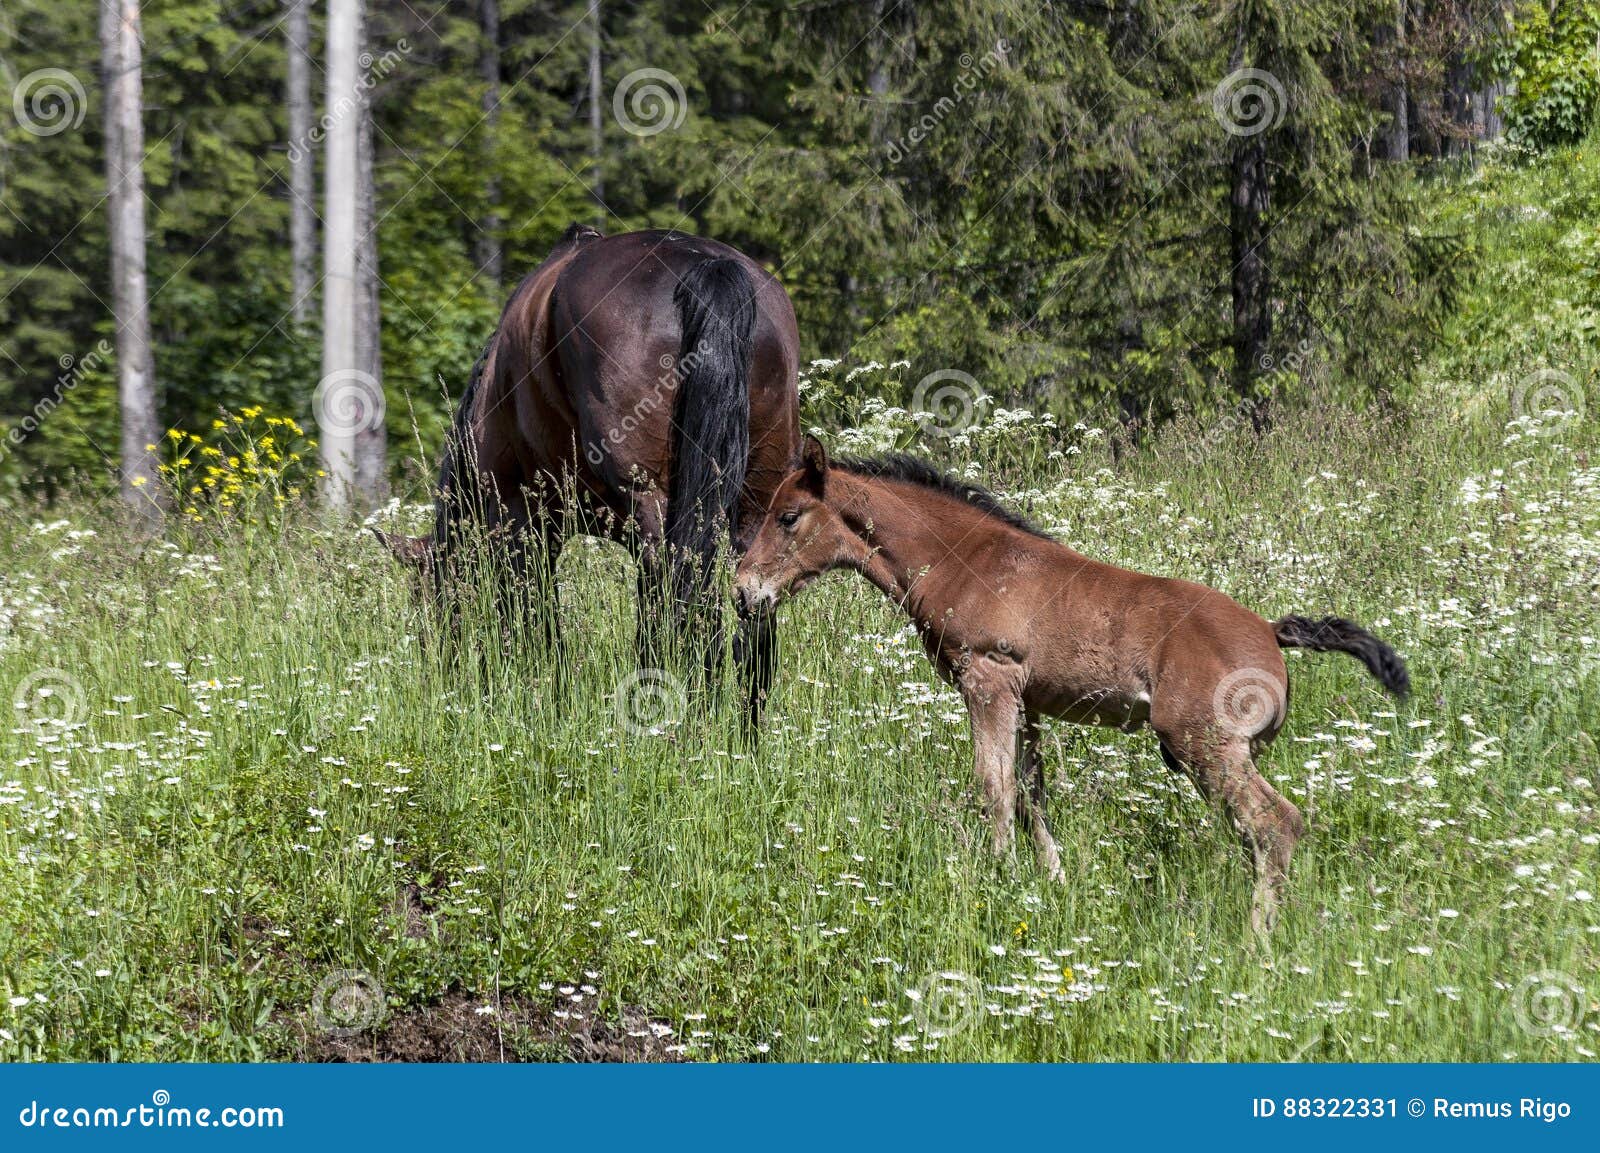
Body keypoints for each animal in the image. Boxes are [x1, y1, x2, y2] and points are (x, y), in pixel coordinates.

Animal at [375, 225, 801, 728]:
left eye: (431, 601)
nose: (444, 676)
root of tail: (707, 264)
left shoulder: (523, 522)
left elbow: (537, 615)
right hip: (759, 501)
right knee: (750, 618)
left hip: (653, 508)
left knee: (677, 601)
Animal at [733, 437, 1410, 932]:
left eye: (788, 517)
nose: (743, 591)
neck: (965, 560)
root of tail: (1271, 633)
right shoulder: (1026, 701)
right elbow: (1032, 793)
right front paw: (1054, 884)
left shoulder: (988, 681)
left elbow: (994, 789)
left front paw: (1001, 883)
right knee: (1257, 835)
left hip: (1203, 746)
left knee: (1277, 825)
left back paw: (1257, 942)